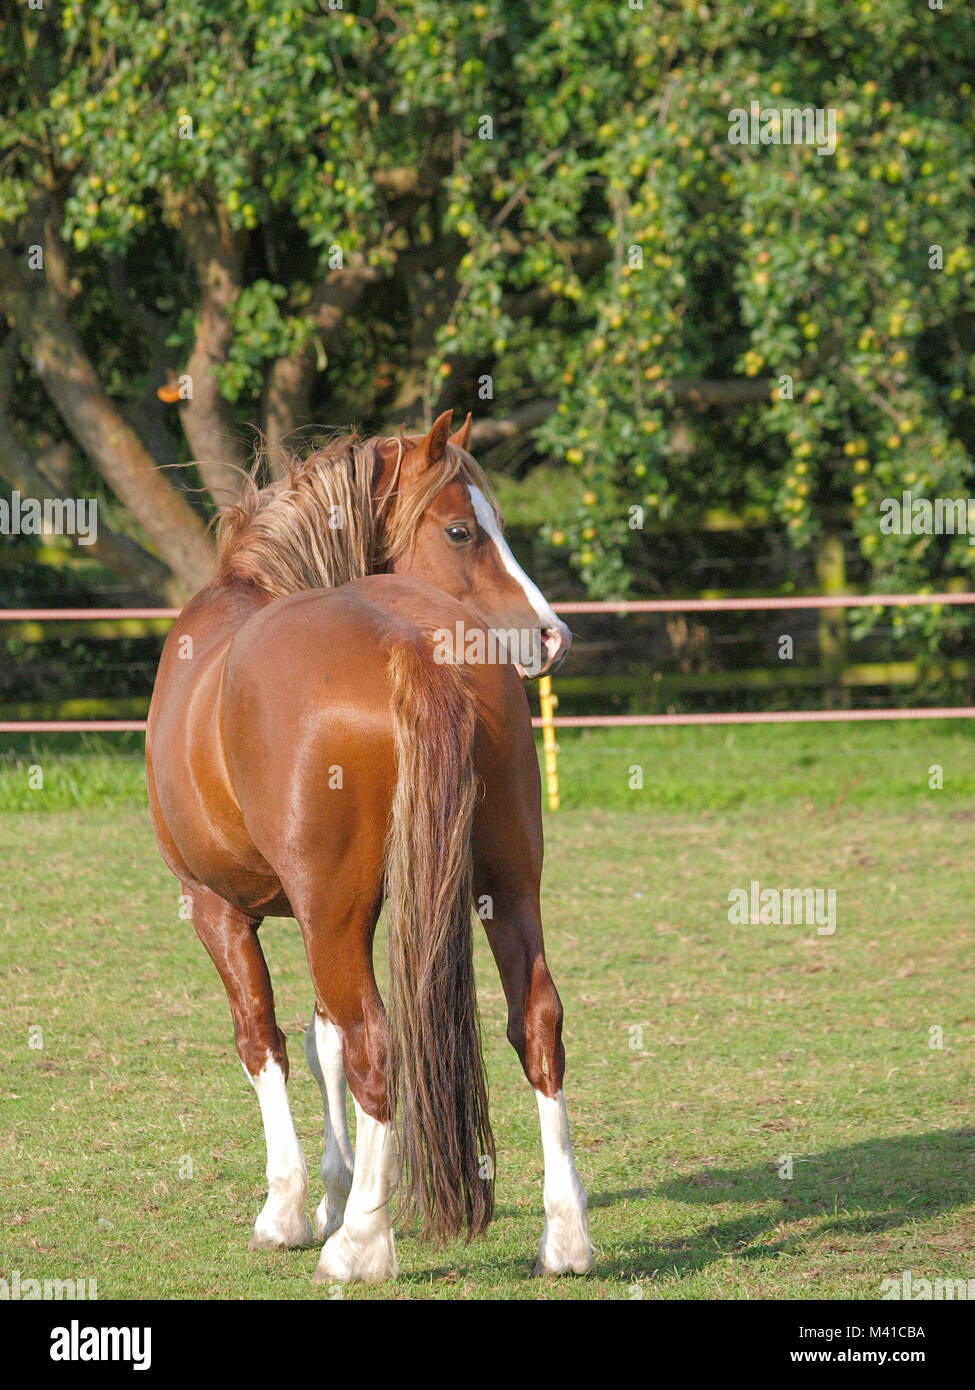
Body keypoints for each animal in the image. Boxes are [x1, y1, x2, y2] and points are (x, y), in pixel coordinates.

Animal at [145, 409, 593, 1283]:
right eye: (461, 529)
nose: (555, 637)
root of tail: (409, 643)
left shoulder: (220, 909)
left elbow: (266, 1041)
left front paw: (292, 1209)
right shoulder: (333, 912)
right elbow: (322, 1044)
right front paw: (332, 1190)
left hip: (328, 916)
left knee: (376, 1046)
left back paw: (360, 1246)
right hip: (501, 887)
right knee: (536, 1023)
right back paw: (563, 1238)